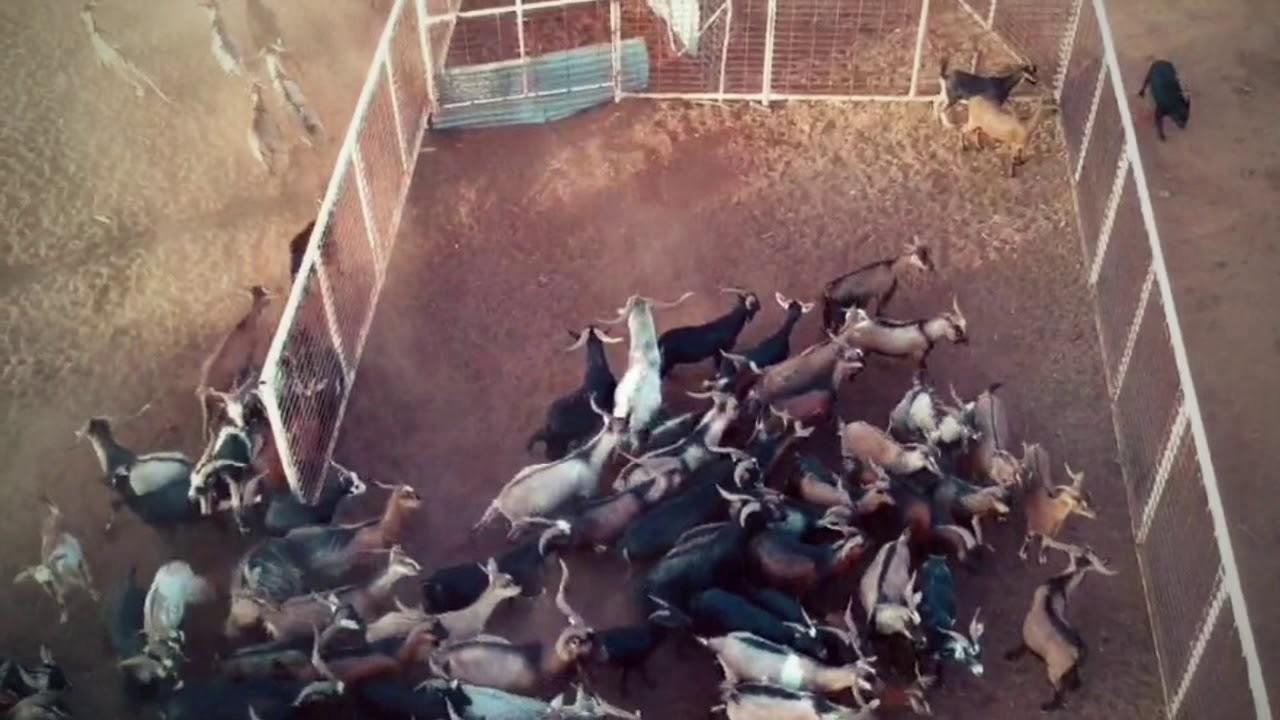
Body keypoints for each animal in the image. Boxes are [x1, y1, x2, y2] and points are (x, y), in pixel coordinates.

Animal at [475, 401, 623, 535]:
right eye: (620, 427)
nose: (625, 420)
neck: (587, 458)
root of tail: (503, 501)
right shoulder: (587, 491)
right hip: (521, 519)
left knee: (491, 509)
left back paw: (479, 526)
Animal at [700, 632, 876, 699]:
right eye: (866, 676)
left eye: (872, 670)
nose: (877, 689)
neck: (820, 674)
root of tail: (717, 641)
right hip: (732, 674)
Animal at [836, 299, 968, 369]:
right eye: (957, 327)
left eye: (964, 324)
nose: (966, 340)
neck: (926, 331)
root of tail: (852, 327)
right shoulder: (917, 355)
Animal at [1006, 544, 1117, 711]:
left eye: (1075, 552)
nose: (1070, 548)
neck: (1058, 585)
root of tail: (1076, 651)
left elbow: (1024, 644)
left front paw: (1012, 655)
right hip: (1069, 667)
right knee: (1075, 677)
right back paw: (1074, 686)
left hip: (1054, 670)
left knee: (1060, 692)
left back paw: (1048, 706)